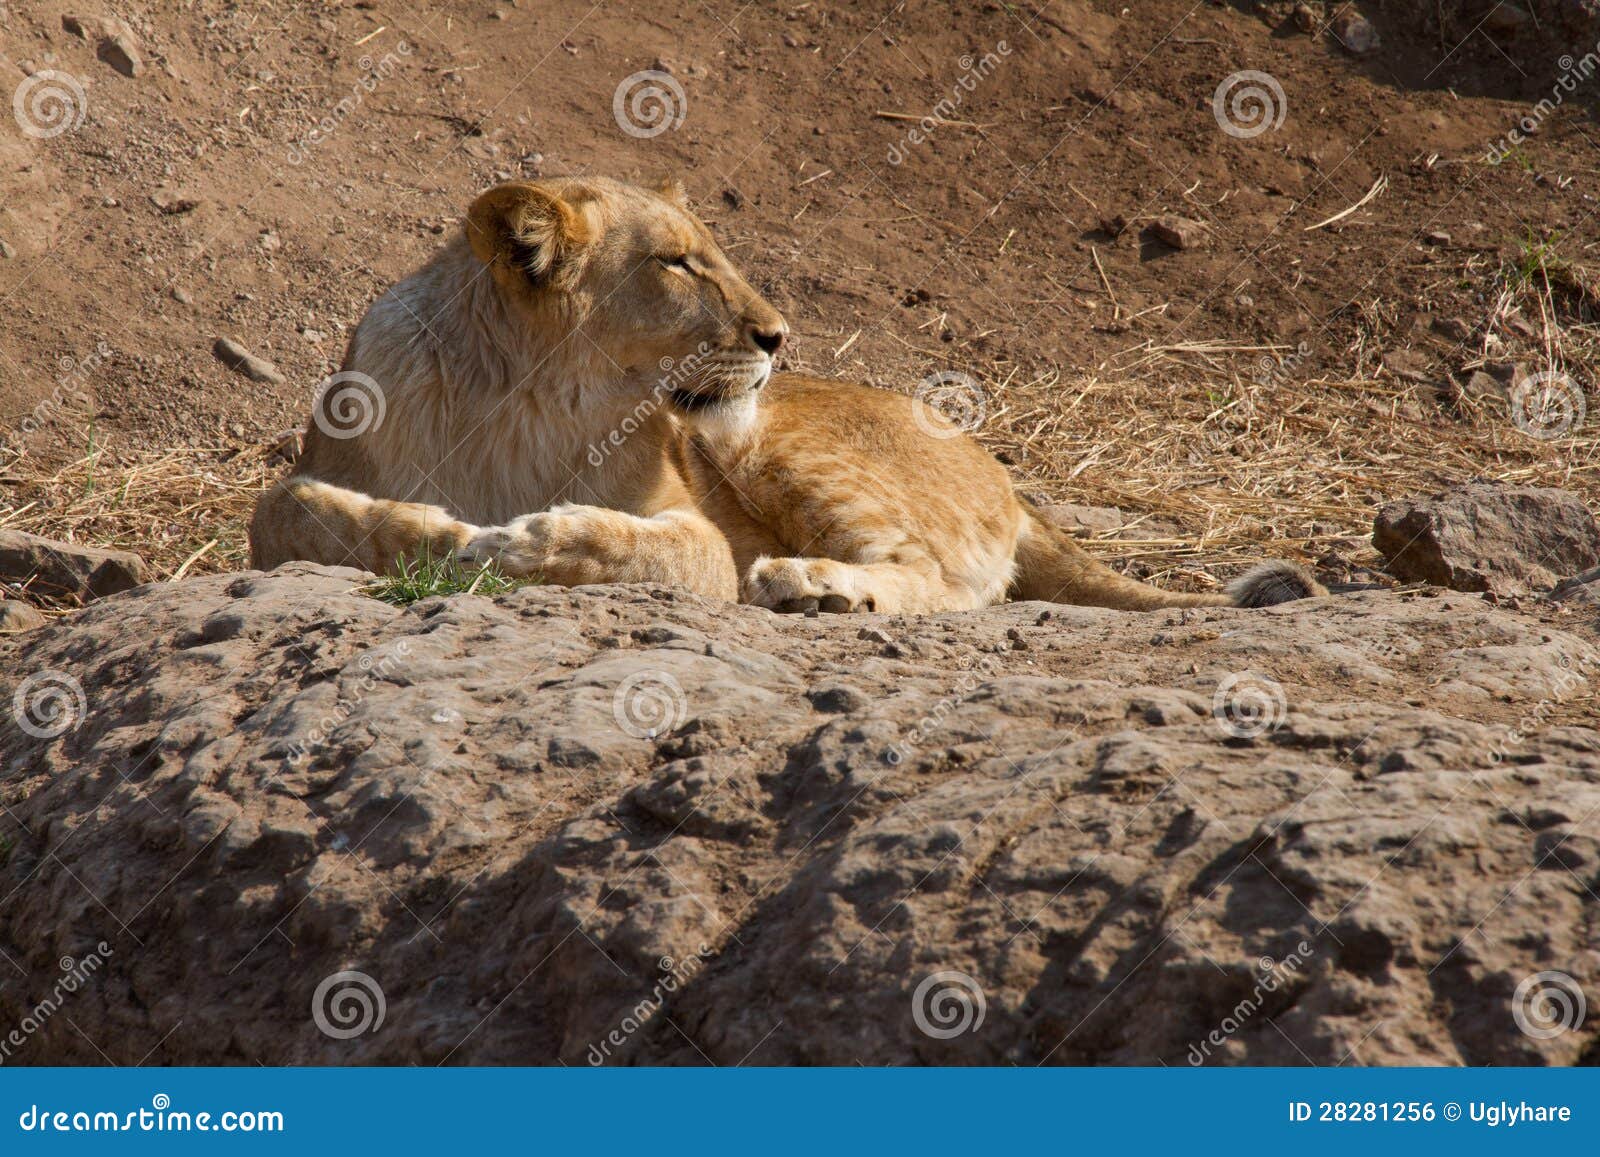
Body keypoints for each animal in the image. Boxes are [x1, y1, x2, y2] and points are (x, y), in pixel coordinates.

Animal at [249, 176, 1325, 615]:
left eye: (716, 253)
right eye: (681, 264)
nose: (778, 337)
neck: (533, 399)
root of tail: (1011, 482)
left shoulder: (693, 519)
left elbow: (665, 550)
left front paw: (528, 541)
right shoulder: (315, 469)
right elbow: (285, 510)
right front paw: (436, 531)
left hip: (770, 443)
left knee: (943, 584)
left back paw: (815, 584)